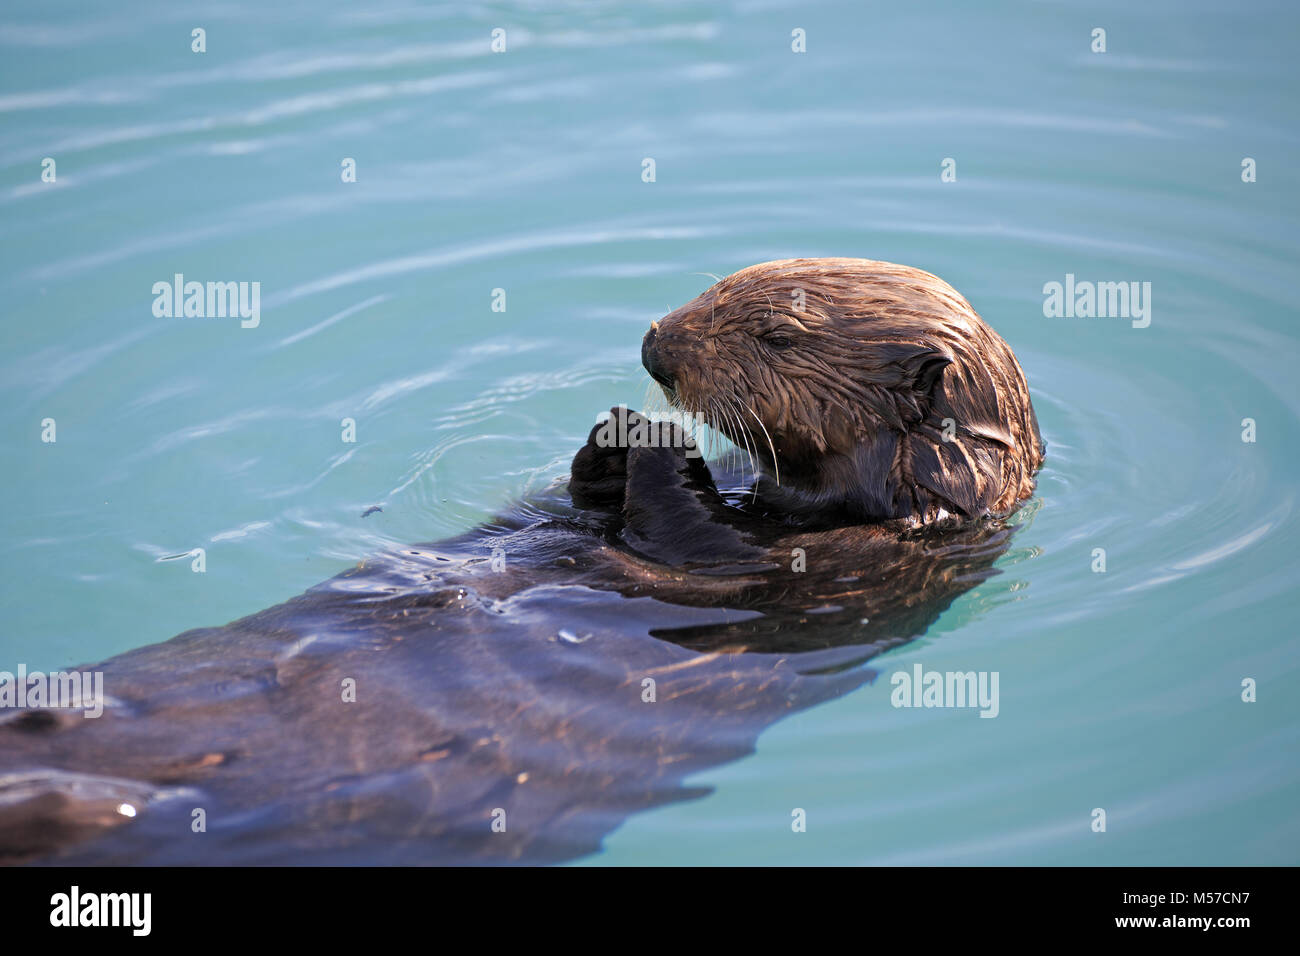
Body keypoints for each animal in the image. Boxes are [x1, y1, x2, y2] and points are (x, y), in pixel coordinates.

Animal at [0, 258, 1042, 865]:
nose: (653, 347)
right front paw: (608, 442)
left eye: (778, 335)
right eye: (722, 284)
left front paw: (650, 444)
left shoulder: (856, 558)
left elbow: (702, 552)